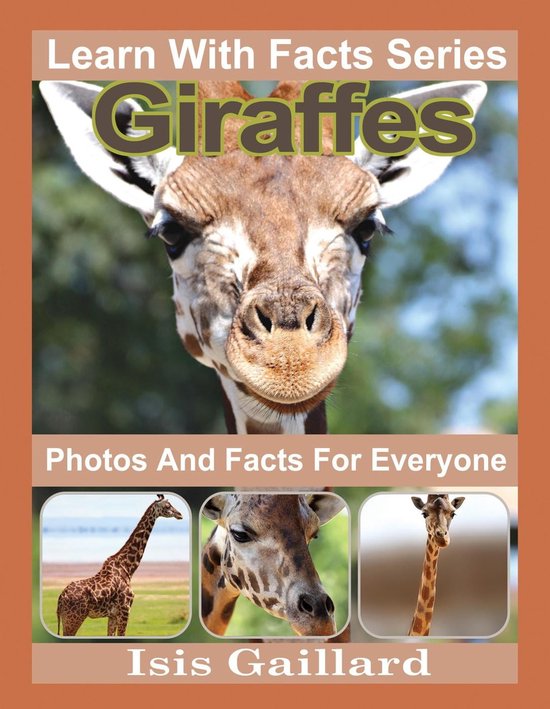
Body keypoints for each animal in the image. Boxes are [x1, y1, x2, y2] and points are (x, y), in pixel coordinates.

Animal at [56, 494, 183, 637]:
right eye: (167, 506)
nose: (180, 514)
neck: (127, 568)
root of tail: (60, 599)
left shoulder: (113, 614)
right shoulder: (125, 609)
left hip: (68, 618)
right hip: (74, 618)